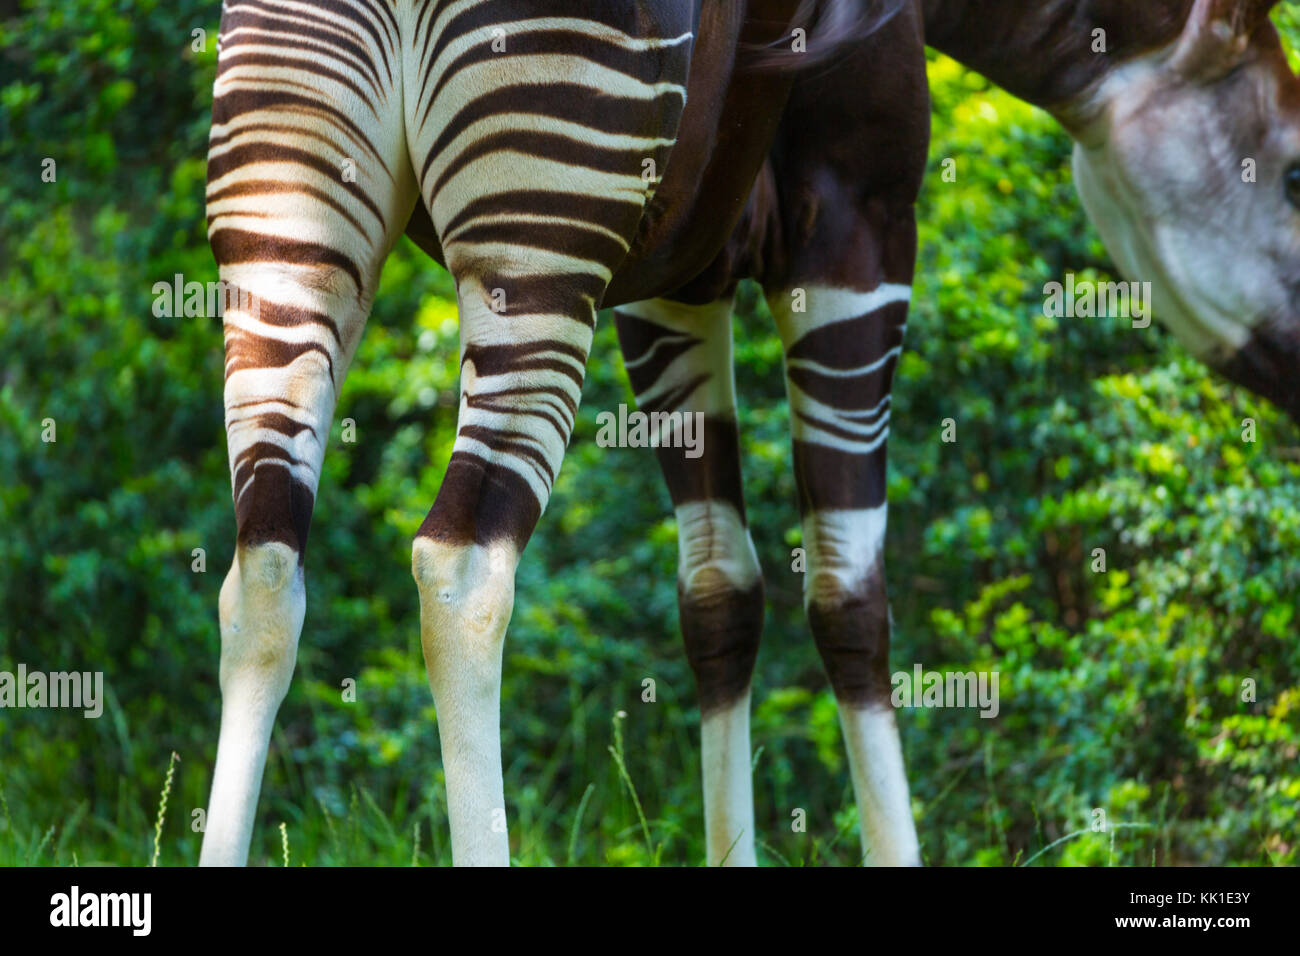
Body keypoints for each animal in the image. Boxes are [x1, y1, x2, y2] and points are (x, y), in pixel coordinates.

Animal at [200, 0, 1300, 866]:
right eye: (1292, 175)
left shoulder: (673, 278)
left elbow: (718, 595)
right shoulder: (859, 226)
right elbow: (850, 598)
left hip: (293, 228)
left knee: (264, 571)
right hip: (539, 236)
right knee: (463, 568)